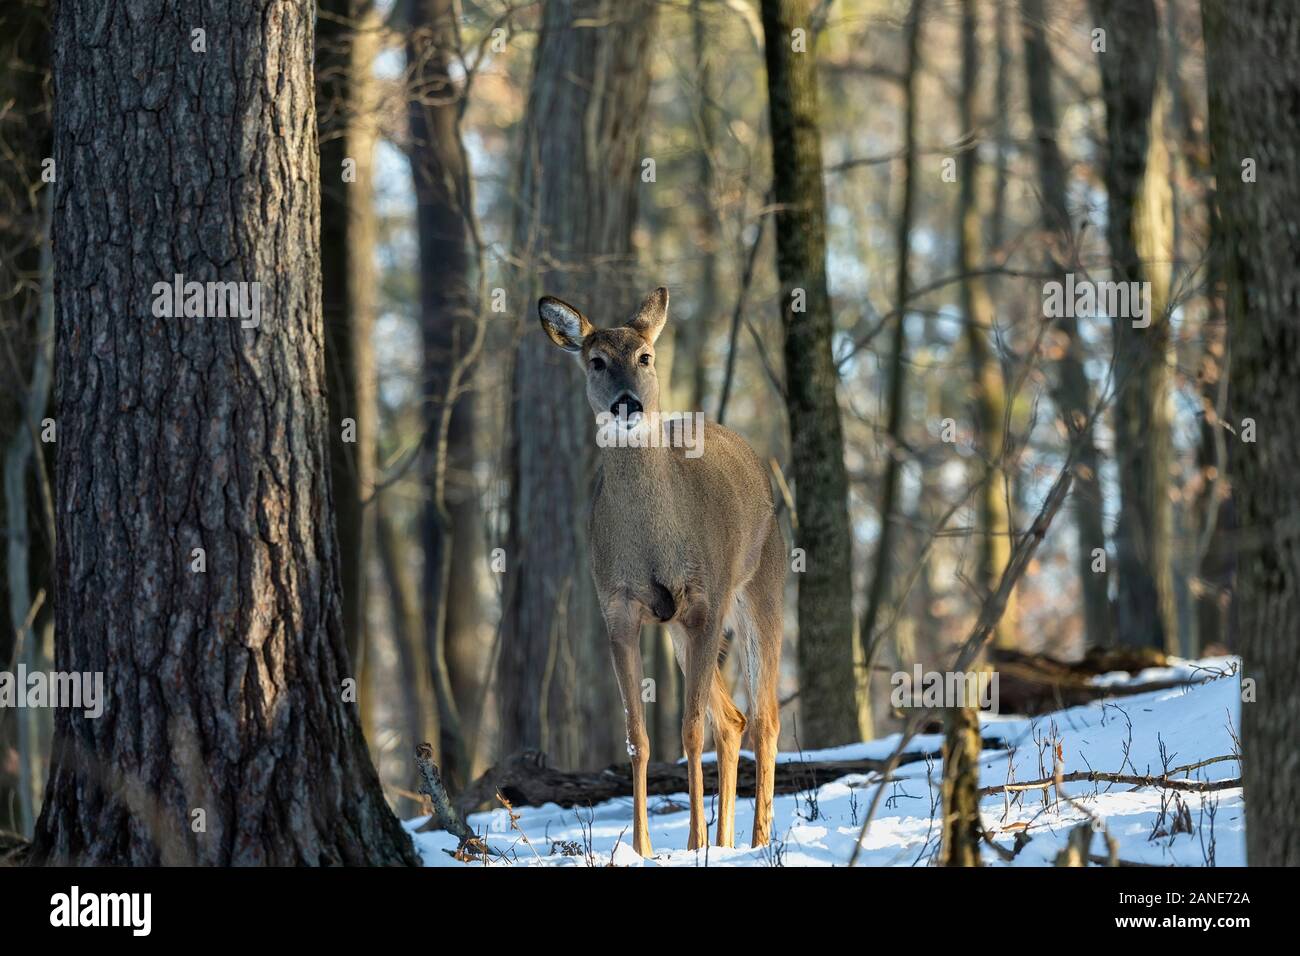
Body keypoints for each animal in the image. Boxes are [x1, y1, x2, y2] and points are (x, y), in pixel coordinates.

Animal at [538, 286, 784, 857]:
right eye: (596, 360)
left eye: (645, 356)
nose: (627, 402)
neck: (654, 539)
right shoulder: (620, 609)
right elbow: (638, 736)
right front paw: (644, 848)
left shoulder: (705, 600)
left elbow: (690, 729)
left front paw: (694, 842)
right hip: (676, 629)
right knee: (734, 720)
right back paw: (729, 838)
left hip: (762, 586)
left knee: (764, 718)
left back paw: (758, 840)